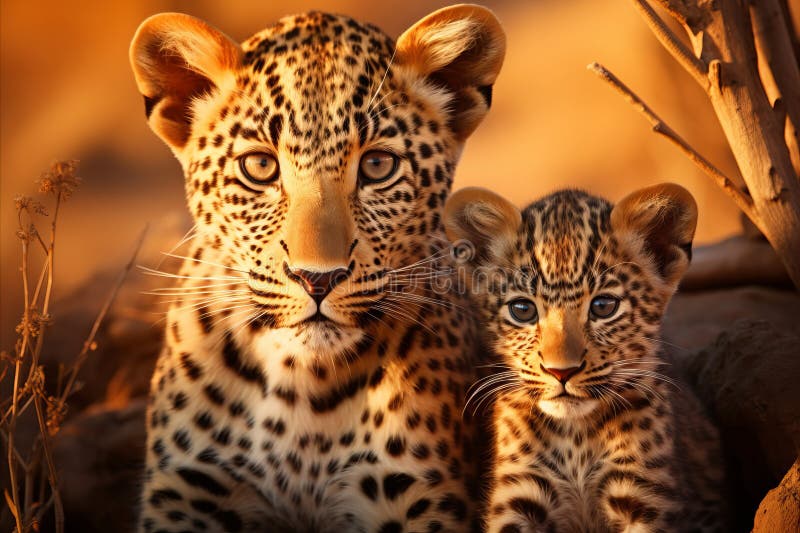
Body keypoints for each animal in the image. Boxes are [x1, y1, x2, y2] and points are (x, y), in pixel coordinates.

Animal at [128, 5, 505, 532]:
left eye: (378, 166)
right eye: (260, 167)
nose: (318, 279)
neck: (300, 389)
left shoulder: (418, 493)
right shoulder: (188, 488)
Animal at [443, 184, 726, 532]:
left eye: (603, 307)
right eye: (522, 310)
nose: (560, 372)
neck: (574, 436)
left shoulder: (645, 494)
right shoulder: (519, 493)